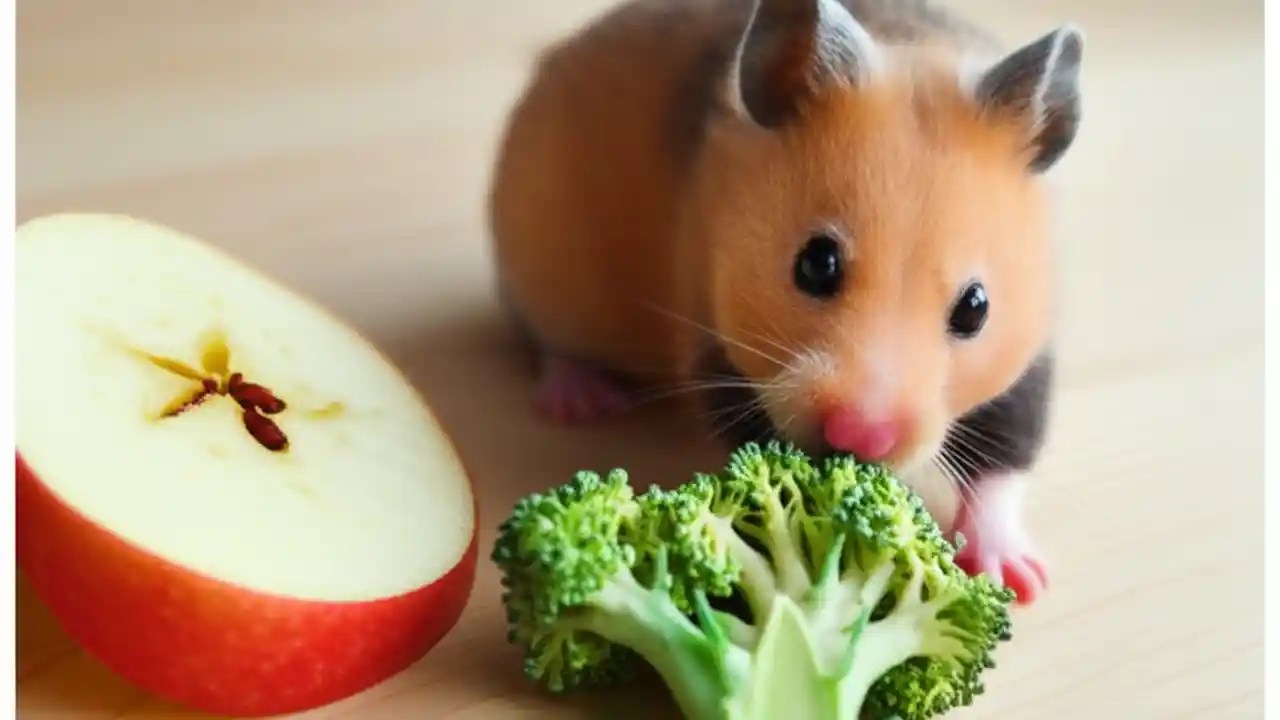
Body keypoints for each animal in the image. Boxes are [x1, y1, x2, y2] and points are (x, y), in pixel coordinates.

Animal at [487, 0, 1083, 605]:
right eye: (816, 264)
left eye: (975, 308)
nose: (862, 436)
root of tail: (560, 53)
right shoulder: (711, 340)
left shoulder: (1030, 366)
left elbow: (1004, 462)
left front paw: (1017, 579)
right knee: (544, 340)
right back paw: (579, 400)